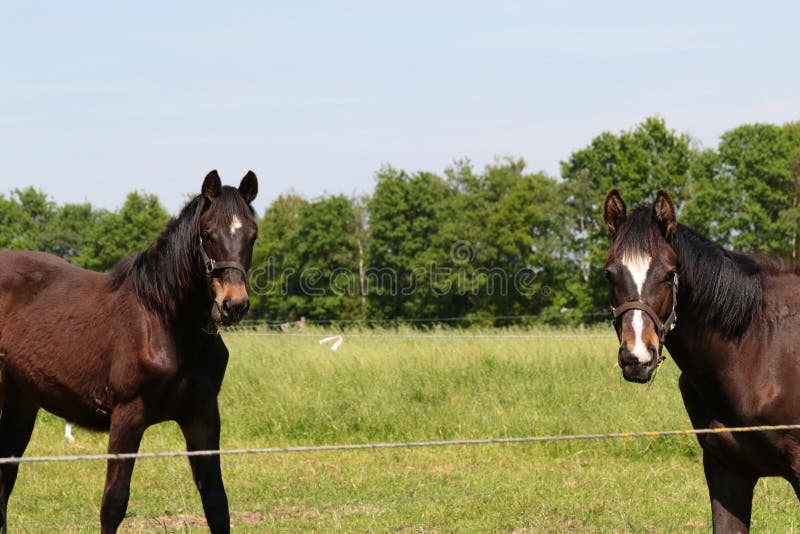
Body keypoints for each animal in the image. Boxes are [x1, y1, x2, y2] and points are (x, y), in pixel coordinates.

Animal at [0, 170, 258, 533]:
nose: (233, 305)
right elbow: (114, 504)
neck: (163, 321)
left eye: (252, 234)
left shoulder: (202, 415)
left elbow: (217, 504)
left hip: (21, 400)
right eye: (208, 235)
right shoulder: (127, 416)